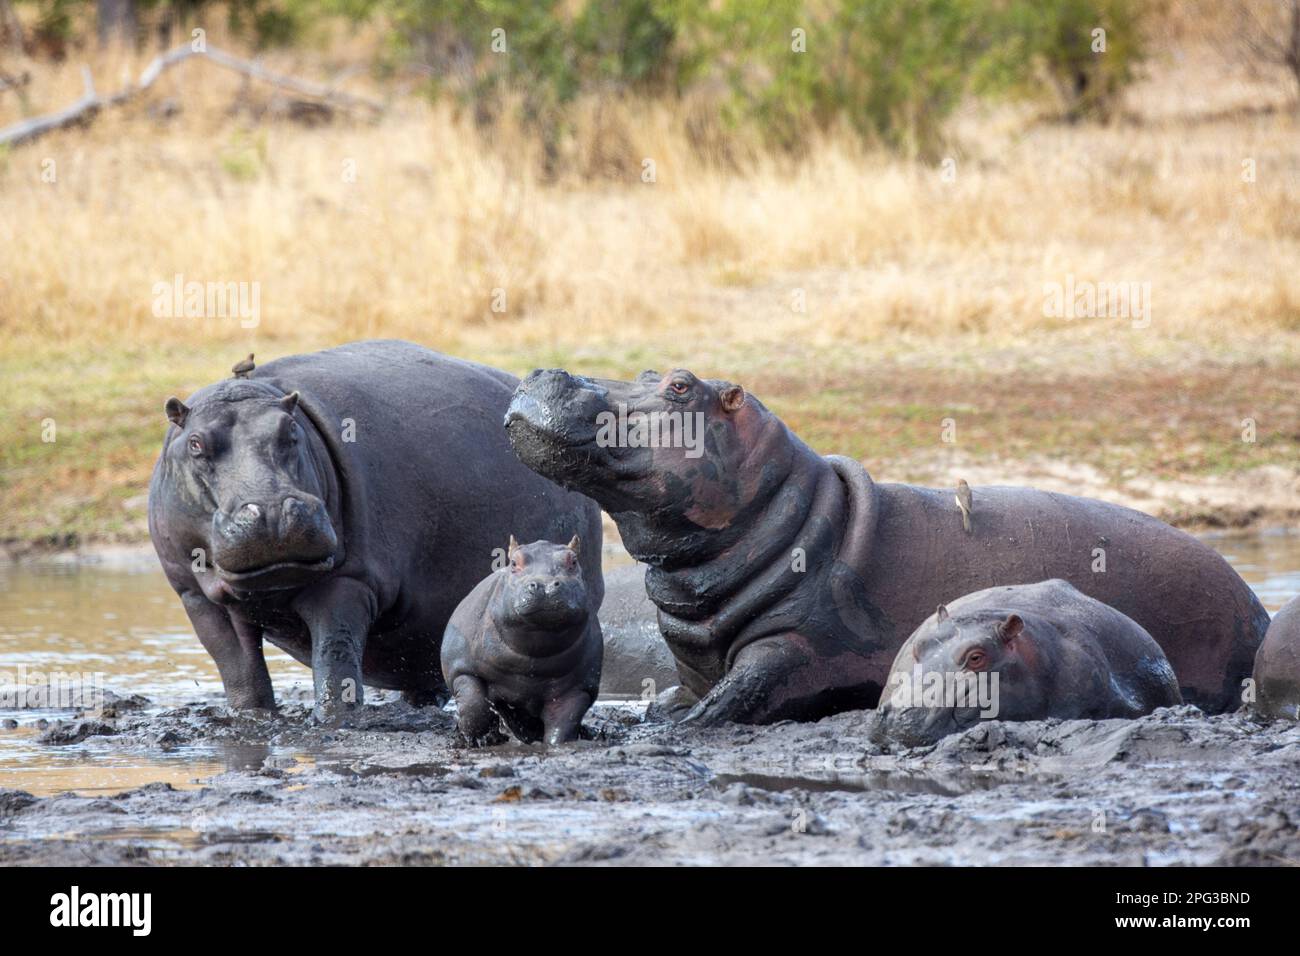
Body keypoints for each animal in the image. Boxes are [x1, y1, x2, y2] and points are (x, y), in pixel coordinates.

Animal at [148, 341, 604, 722]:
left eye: (291, 432)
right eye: (195, 444)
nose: (276, 509)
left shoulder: (349, 580)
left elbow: (335, 660)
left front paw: (335, 722)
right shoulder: (193, 594)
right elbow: (239, 671)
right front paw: (253, 720)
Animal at [442, 536, 602, 745]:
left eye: (573, 561)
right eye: (513, 563)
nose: (545, 586)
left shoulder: (578, 688)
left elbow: (563, 723)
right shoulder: (462, 669)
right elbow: (473, 705)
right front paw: (475, 740)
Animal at [504, 367, 1268, 725]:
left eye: (680, 384)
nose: (547, 372)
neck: (787, 510)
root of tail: (1256, 603)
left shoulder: (793, 647)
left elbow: (737, 693)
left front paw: (685, 724)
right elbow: (683, 692)